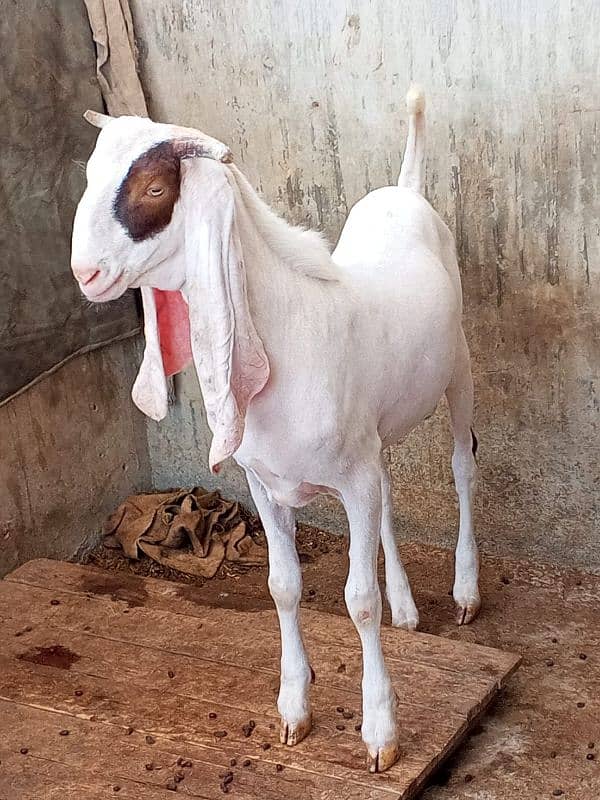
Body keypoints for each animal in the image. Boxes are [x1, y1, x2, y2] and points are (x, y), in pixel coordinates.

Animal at [71, 87, 480, 773]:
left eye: (155, 187)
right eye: (89, 174)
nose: (85, 272)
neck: (292, 330)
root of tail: (405, 190)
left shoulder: (350, 476)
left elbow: (357, 600)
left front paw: (379, 732)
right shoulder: (266, 480)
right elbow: (283, 586)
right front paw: (293, 708)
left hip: (459, 373)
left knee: (462, 467)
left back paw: (466, 589)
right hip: (377, 431)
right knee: (390, 490)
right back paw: (406, 606)